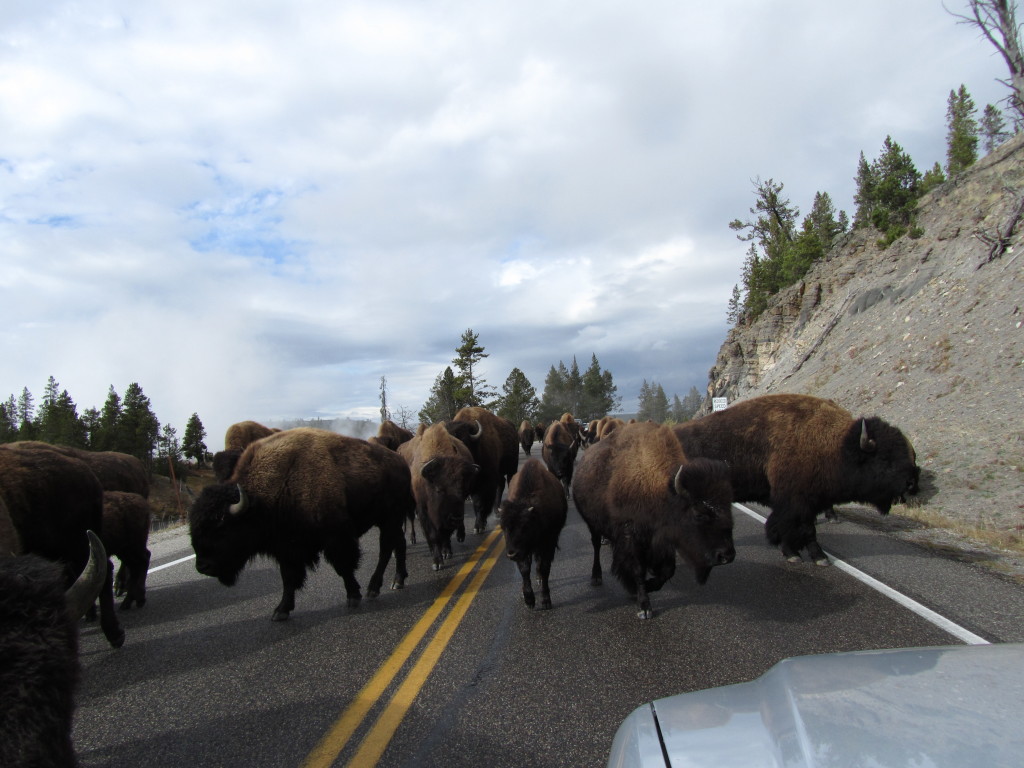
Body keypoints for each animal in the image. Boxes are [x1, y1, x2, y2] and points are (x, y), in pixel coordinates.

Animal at [189, 428, 414, 621]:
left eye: (221, 527)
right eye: (193, 528)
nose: (202, 566)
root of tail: (401, 463)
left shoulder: (336, 538)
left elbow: (343, 567)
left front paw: (353, 596)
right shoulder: (287, 548)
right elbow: (289, 578)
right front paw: (281, 610)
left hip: (389, 519)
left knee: (385, 550)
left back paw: (373, 588)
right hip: (390, 520)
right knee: (399, 544)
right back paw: (398, 580)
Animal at [398, 423, 479, 569]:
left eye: (463, 490)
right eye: (439, 490)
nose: (456, 517)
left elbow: (445, 534)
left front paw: (446, 552)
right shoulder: (423, 510)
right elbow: (432, 535)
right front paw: (437, 562)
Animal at [498, 458, 567, 610]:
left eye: (525, 526)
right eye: (503, 527)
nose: (512, 553)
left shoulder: (548, 543)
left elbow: (544, 568)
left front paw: (546, 600)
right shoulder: (525, 550)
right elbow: (525, 569)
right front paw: (529, 599)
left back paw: (539, 579)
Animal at [572, 421, 735, 620]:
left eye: (729, 507)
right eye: (699, 513)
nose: (727, 556)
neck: (661, 491)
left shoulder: (663, 540)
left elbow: (667, 570)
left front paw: (641, 589)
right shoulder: (632, 538)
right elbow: (638, 569)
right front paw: (644, 606)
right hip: (593, 525)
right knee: (596, 546)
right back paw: (596, 577)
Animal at [672, 393, 920, 565]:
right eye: (885, 458)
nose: (912, 484)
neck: (835, 445)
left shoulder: (802, 502)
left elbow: (794, 528)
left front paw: (800, 554)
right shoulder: (798, 502)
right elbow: (802, 529)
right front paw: (813, 557)